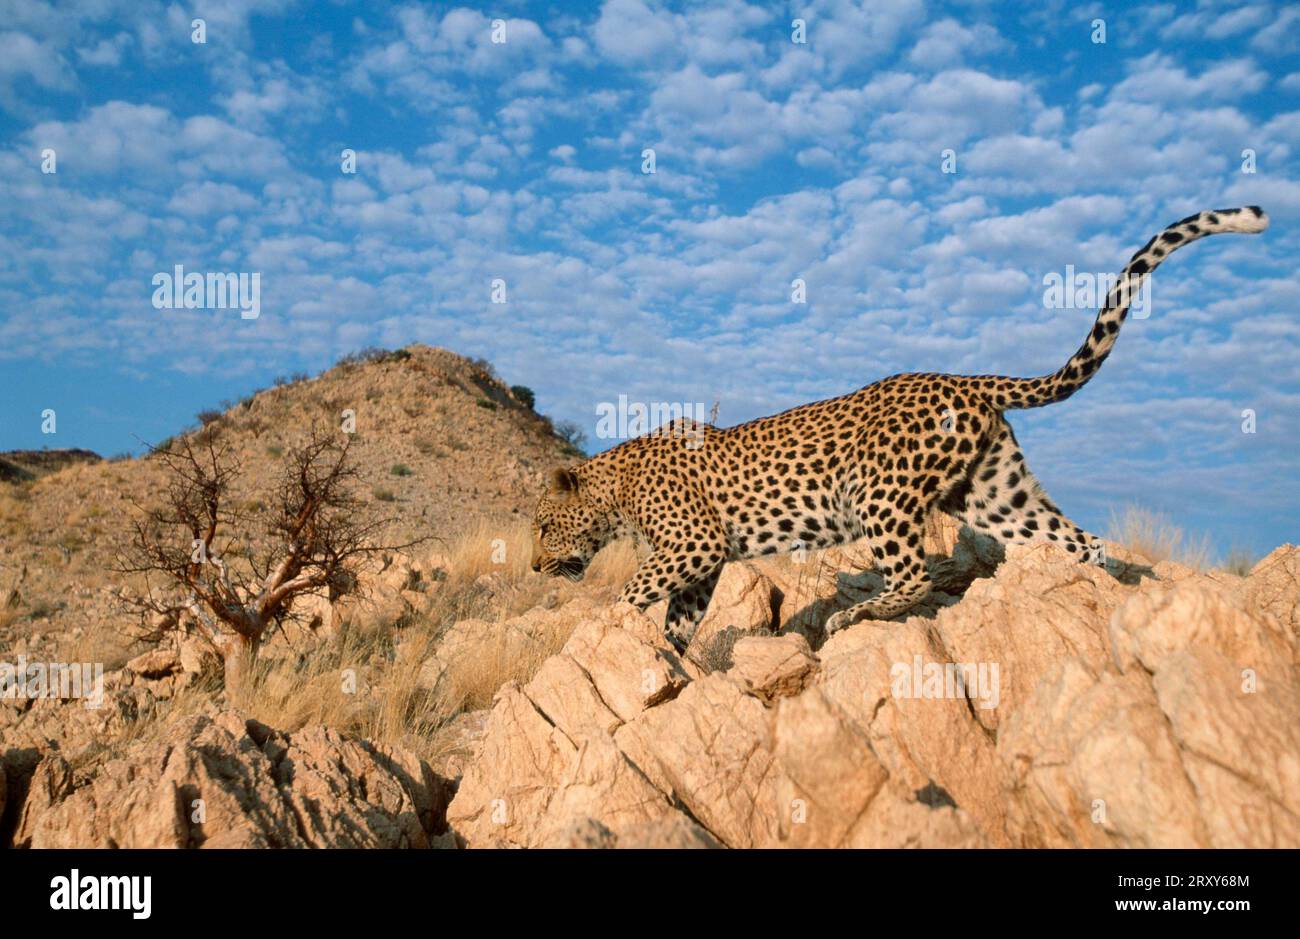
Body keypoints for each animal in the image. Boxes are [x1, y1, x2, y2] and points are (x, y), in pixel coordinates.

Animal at [531, 206, 1270, 653]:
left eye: (540, 525)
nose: (534, 566)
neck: (615, 485)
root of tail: (964, 380)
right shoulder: (700, 561)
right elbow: (677, 616)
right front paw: (670, 656)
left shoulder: (695, 541)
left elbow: (631, 591)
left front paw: (601, 625)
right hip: (994, 493)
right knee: (1079, 540)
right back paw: (1107, 594)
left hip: (878, 494)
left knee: (914, 575)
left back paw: (852, 615)